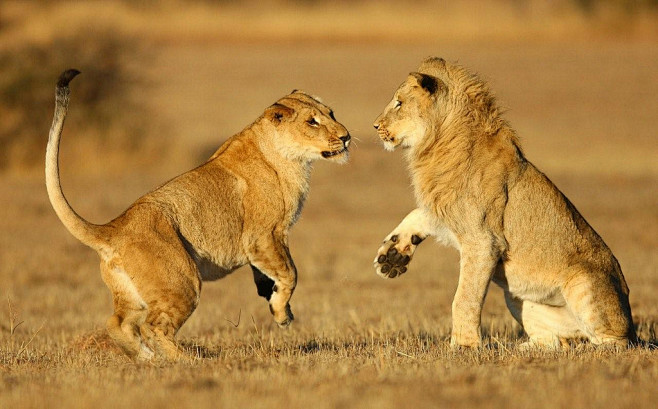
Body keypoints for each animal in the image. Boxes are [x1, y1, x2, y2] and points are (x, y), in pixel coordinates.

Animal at [46, 69, 351, 360]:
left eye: (331, 113)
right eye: (312, 122)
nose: (346, 137)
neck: (288, 157)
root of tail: (114, 226)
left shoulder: (262, 247)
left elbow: (270, 275)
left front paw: (276, 304)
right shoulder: (265, 235)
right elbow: (291, 273)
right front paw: (280, 312)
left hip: (131, 294)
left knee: (117, 323)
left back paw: (146, 358)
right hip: (183, 282)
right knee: (153, 326)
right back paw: (187, 360)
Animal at [372, 57, 636, 349]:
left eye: (399, 103)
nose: (375, 126)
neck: (436, 146)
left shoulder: (482, 240)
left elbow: (464, 298)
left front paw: (463, 346)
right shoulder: (448, 212)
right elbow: (417, 214)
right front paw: (393, 256)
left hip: (585, 285)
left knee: (616, 340)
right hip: (520, 299)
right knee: (559, 341)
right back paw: (521, 348)